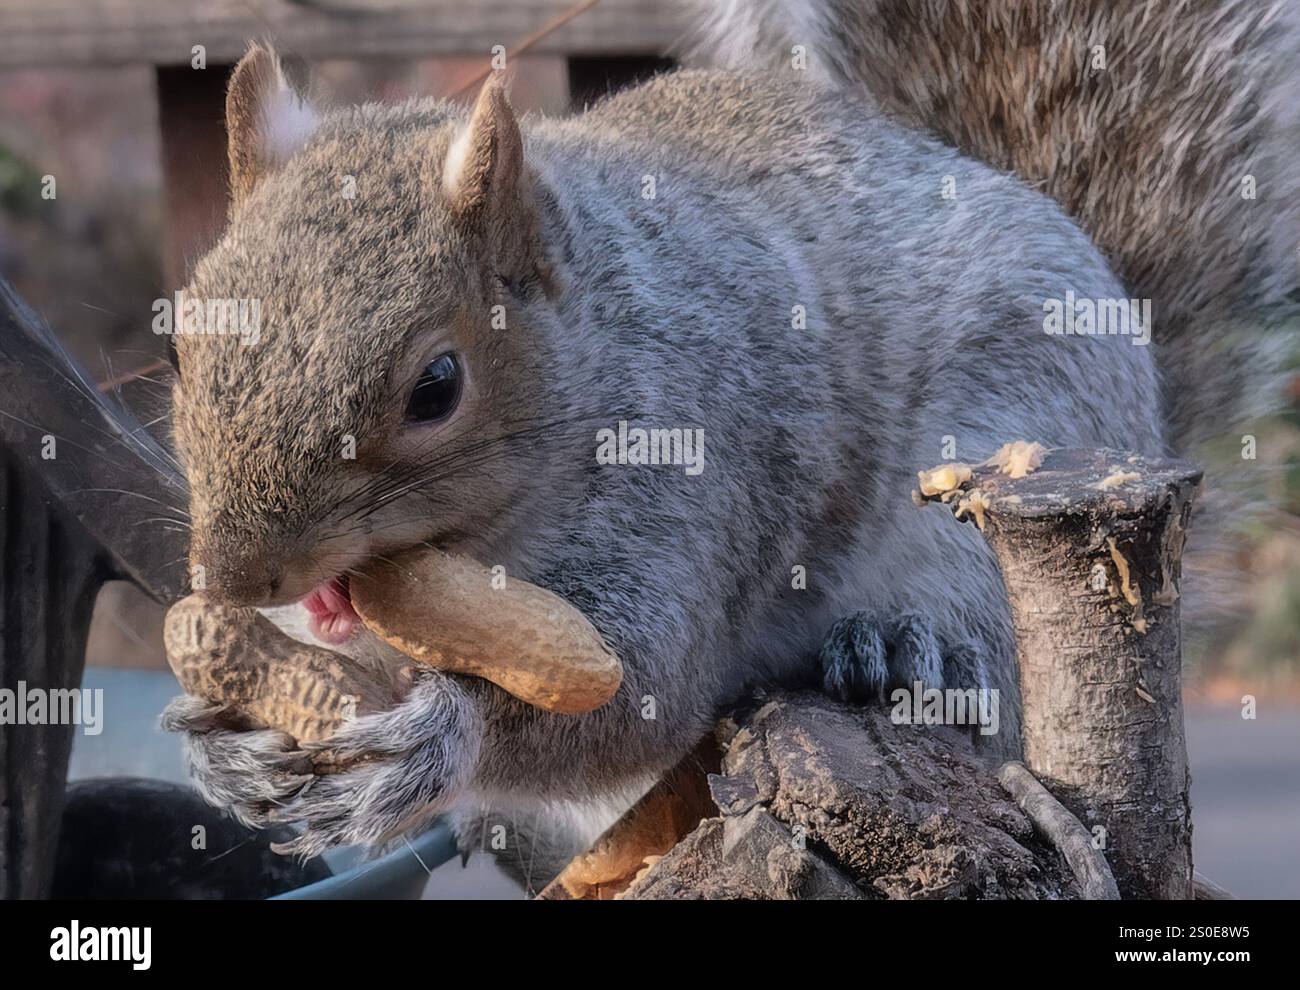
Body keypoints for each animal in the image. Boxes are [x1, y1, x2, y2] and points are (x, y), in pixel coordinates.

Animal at [162, 1, 1297, 884]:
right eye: (179, 343)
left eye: (436, 388)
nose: (237, 577)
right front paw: (229, 747)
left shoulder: (694, 477)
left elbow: (640, 686)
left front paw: (436, 736)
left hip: (1021, 434)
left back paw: (904, 644)